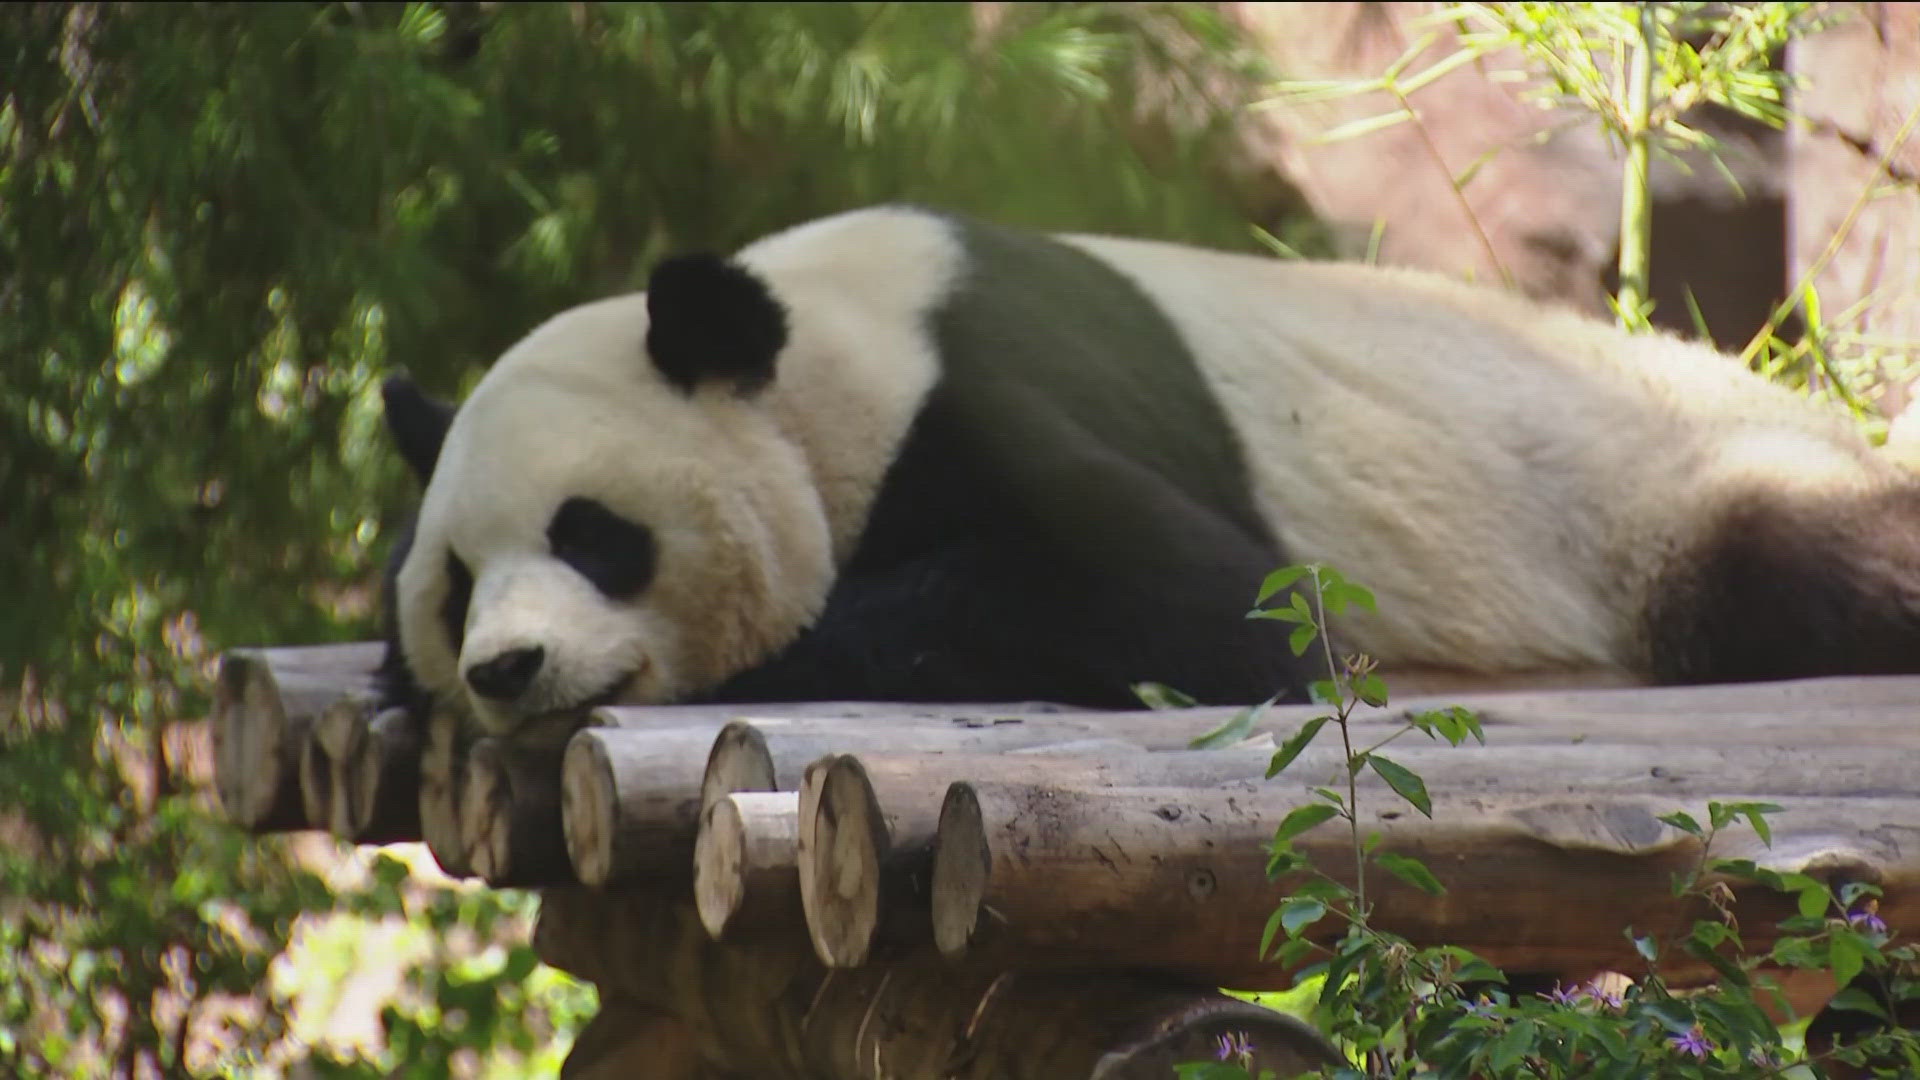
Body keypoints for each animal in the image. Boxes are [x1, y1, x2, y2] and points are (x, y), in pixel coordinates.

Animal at [377, 204, 1920, 734]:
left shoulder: (985, 391)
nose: (506, 669)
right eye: (456, 583)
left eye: (594, 533)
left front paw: (791, 641)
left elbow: (1200, 609)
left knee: (1797, 567)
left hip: (1669, 487)